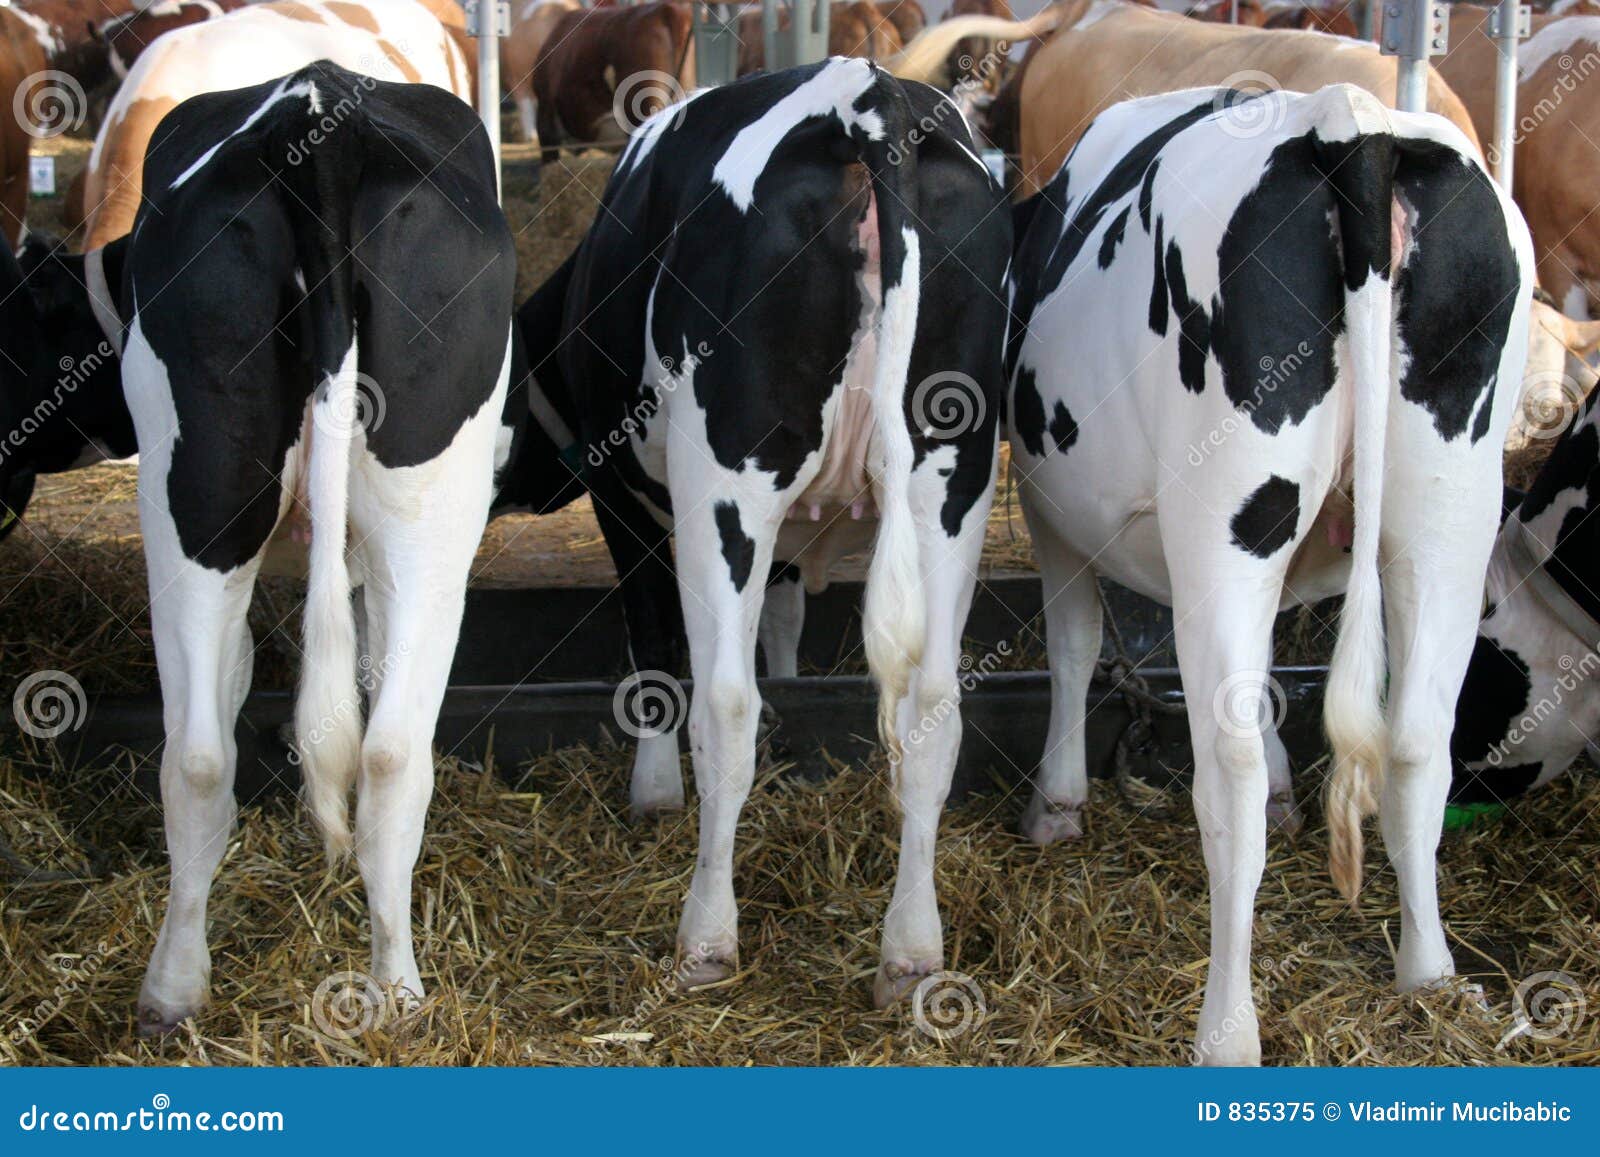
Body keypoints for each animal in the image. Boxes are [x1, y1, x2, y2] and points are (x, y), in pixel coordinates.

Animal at [522, 57, 1011, 999]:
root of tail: (869, 99)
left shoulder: (619, 495)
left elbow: (656, 648)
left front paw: (652, 794)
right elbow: (784, 625)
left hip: (726, 482)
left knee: (725, 705)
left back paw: (706, 938)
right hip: (952, 480)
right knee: (932, 709)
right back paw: (910, 952)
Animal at [1005, 83, 1534, 1064]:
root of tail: (1346, 120)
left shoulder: (1051, 510)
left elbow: (1073, 644)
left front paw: (1056, 803)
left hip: (1225, 520)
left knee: (1231, 779)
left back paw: (1227, 1030)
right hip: (1449, 510)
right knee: (1417, 741)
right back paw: (1429, 973)